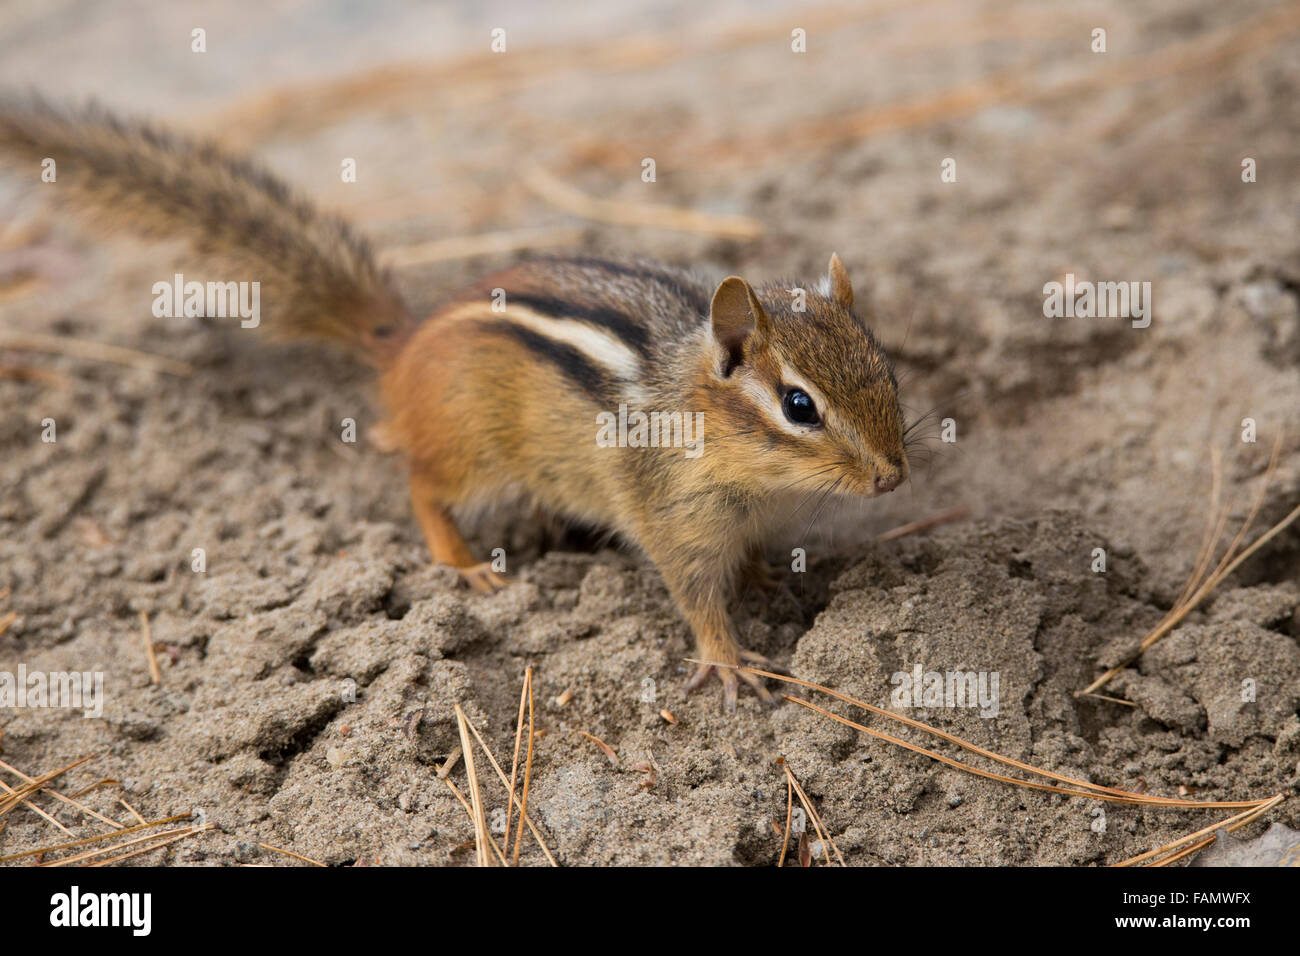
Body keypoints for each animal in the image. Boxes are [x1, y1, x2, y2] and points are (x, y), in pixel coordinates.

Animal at [0, 98, 909, 709]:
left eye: (888, 372)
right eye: (799, 405)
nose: (894, 479)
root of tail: (405, 344)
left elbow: (750, 561)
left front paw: (770, 581)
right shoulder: (673, 520)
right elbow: (694, 597)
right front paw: (728, 660)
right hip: (476, 457)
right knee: (422, 486)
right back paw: (465, 564)